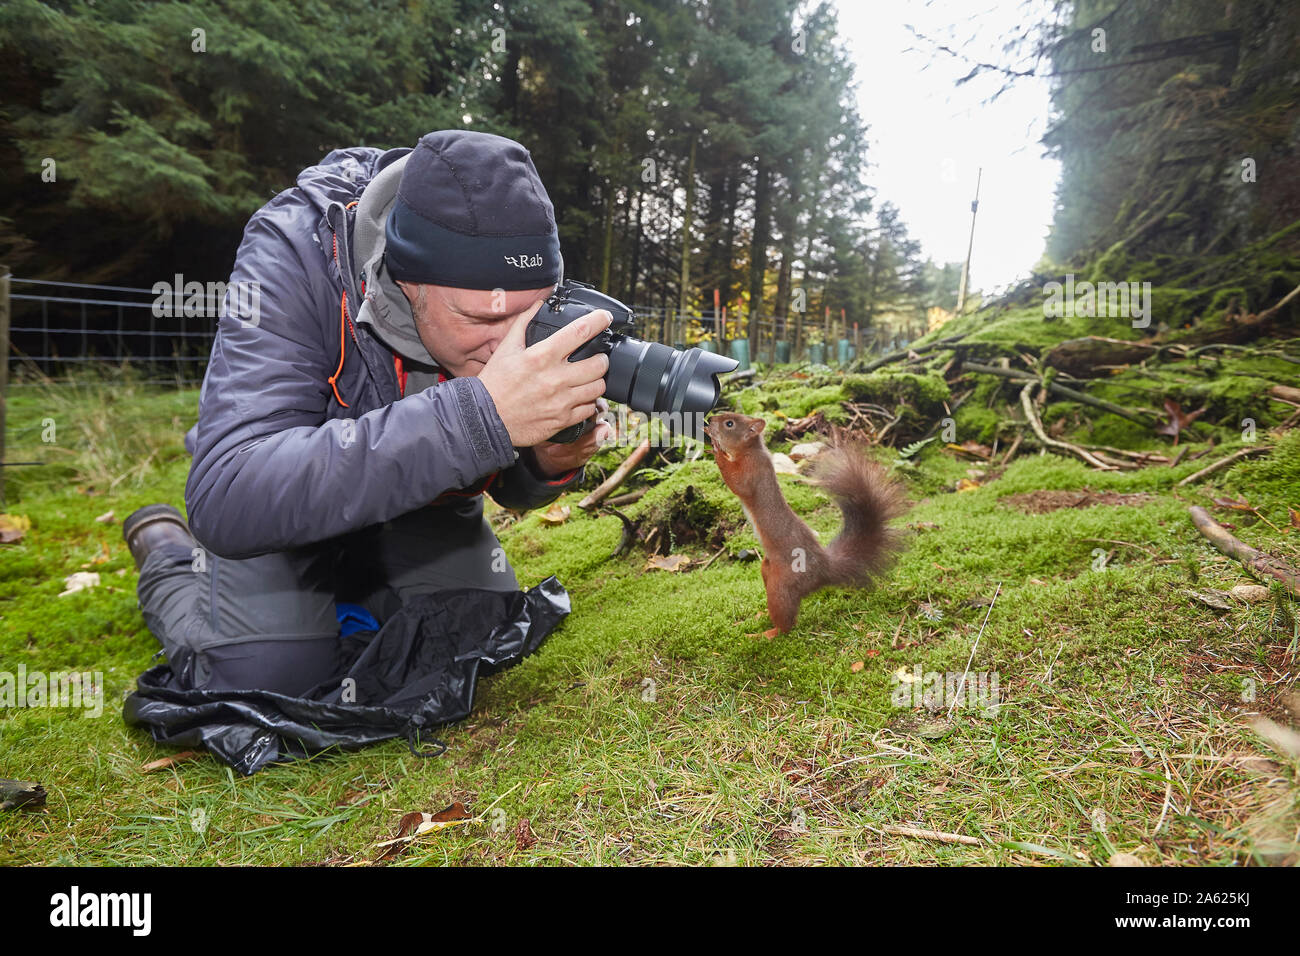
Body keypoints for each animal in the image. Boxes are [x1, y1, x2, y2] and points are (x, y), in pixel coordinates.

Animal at [704, 412, 907, 635]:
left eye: (729, 423)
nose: (710, 420)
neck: (751, 450)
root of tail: (824, 570)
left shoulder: (752, 471)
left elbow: (737, 483)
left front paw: (716, 449)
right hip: (767, 568)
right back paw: (762, 616)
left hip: (782, 584)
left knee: (786, 623)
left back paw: (766, 634)